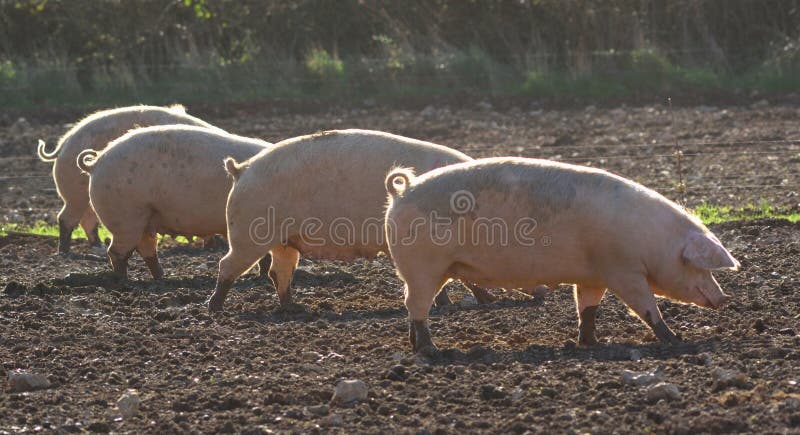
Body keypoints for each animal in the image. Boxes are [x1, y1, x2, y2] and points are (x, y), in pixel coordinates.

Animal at [36, 105, 222, 254]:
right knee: (65, 218)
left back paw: (98, 247)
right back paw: (65, 252)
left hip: (86, 196)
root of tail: (63, 145)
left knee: (87, 220)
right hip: (74, 194)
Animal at [77, 125, 271, 279]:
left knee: (146, 247)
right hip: (125, 218)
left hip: (144, 218)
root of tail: (95, 163)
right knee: (117, 252)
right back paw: (124, 281)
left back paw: (161, 277)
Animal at [207, 129, 497, 312]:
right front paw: (484, 301)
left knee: (278, 271)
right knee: (227, 265)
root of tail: (241, 170)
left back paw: (294, 308)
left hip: (283, 241)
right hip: (248, 235)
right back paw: (215, 308)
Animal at [384, 157, 739, 355]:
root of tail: (402, 191)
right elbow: (647, 308)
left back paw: (418, 346)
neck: (653, 242)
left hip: (427, 270)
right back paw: (431, 351)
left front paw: (592, 343)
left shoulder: (594, 275)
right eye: (696, 267)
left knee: (411, 306)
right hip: (423, 268)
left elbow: (588, 308)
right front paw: (676, 340)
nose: (725, 298)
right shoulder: (623, 270)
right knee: (416, 306)